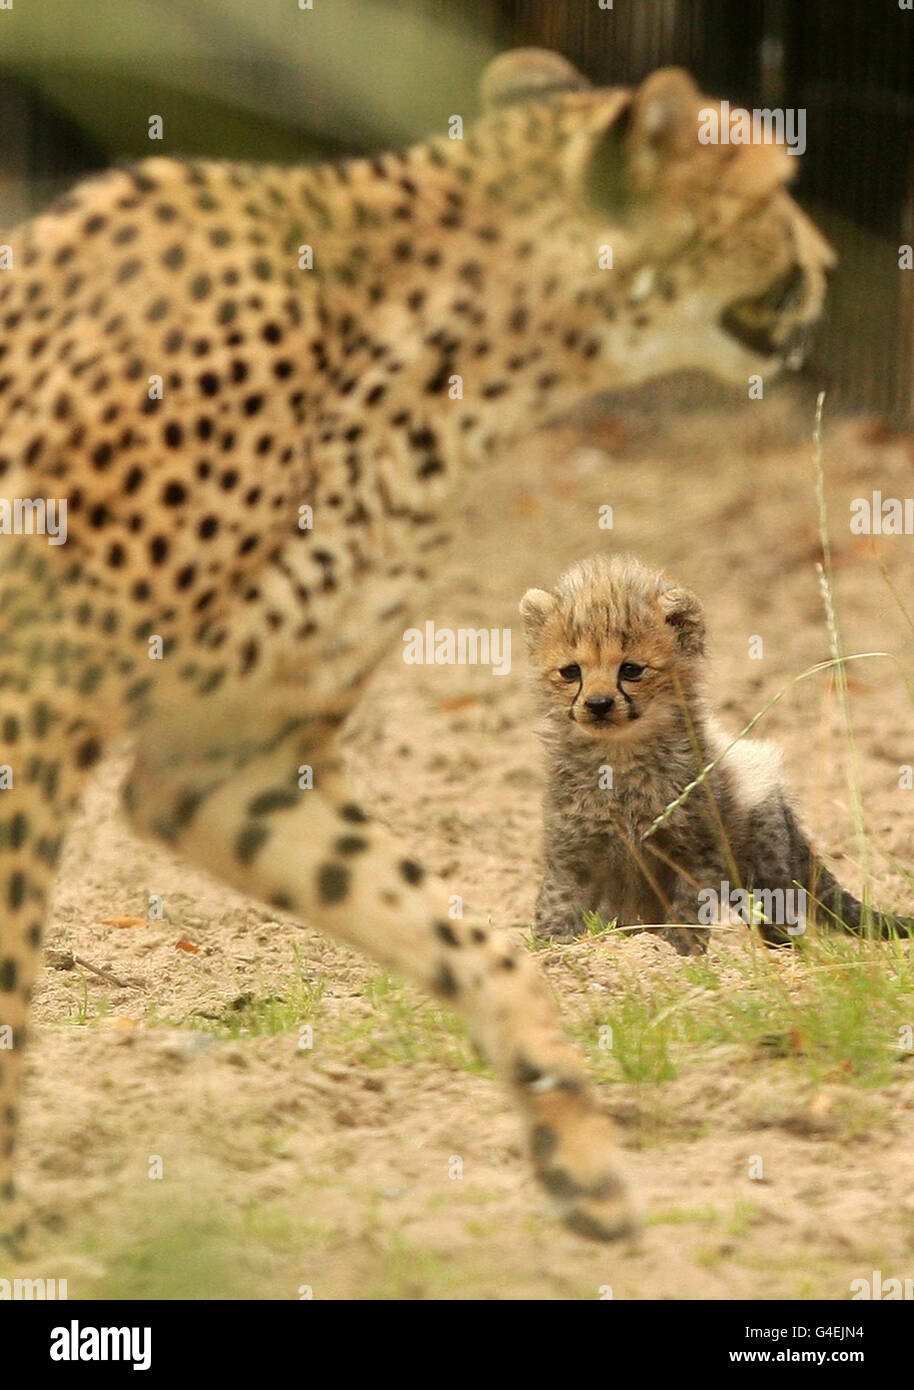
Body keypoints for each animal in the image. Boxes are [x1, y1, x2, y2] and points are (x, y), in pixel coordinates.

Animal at [0, 46, 834, 1254]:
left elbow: (457, 932)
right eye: (773, 190)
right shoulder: (36, 699)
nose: (824, 267)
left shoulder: (226, 761)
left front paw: (574, 1142)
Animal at [521, 553, 913, 950]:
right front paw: (552, 951)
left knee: (779, 919)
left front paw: (677, 954)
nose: (598, 704)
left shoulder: (696, 852)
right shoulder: (572, 855)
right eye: (571, 672)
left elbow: (687, 910)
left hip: (763, 869)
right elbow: (557, 903)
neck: (619, 756)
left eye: (631, 669)